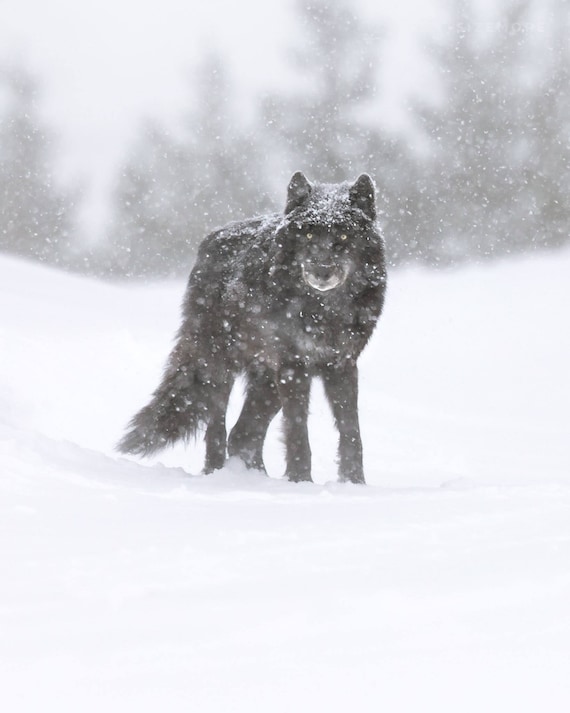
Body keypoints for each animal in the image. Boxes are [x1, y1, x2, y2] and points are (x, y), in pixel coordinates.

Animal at [118, 172, 387, 483]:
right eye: (308, 234)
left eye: (343, 236)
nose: (322, 271)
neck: (323, 310)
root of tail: (210, 240)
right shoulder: (294, 366)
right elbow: (298, 431)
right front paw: (300, 481)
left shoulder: (342, 364)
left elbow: (351, 431)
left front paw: (355, 484)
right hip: (218, 367)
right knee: (218, 428)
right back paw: (217, 473)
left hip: (266, 379)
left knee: (243, 434)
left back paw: (256, 477)